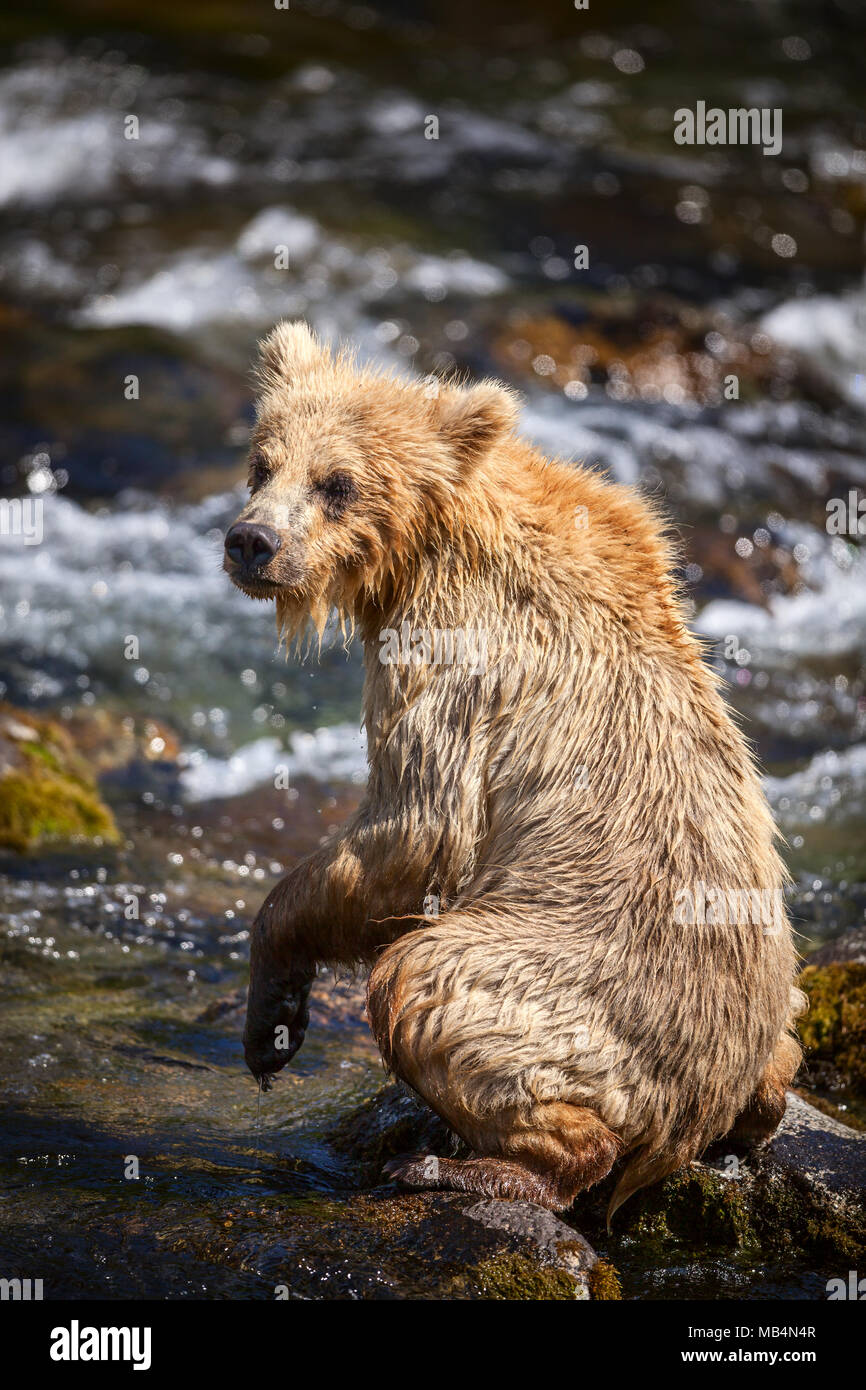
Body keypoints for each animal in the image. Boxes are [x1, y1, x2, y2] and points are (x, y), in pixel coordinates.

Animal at [224, 320, 805, 1221]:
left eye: (337, 483)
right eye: (261, 461)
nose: (254, 542)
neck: (428, 545)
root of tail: (691, 1115)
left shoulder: (457, 654)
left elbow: (417, 829)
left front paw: (272, 1021)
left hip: (579, 991)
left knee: (426, 982)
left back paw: (467, 1165)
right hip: (774, 992)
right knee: (783, 1060)